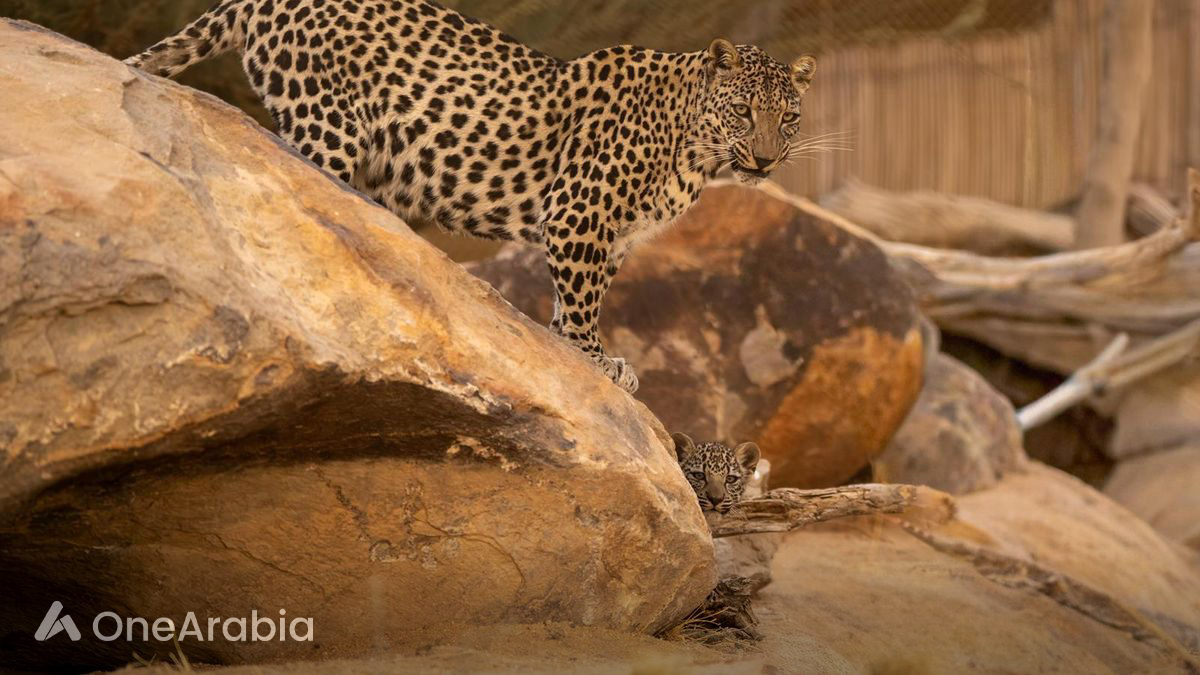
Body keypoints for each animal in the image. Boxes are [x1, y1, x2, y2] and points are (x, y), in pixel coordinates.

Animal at [125, 0, 818, 393]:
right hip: (327, 129)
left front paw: (570, 351)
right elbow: (583, 303)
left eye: (788, 119)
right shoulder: (578, 216)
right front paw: (596, 361)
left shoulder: (614, 238)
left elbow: (572, 302)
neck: (692, 148)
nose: (765, 159)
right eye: (743, 111)